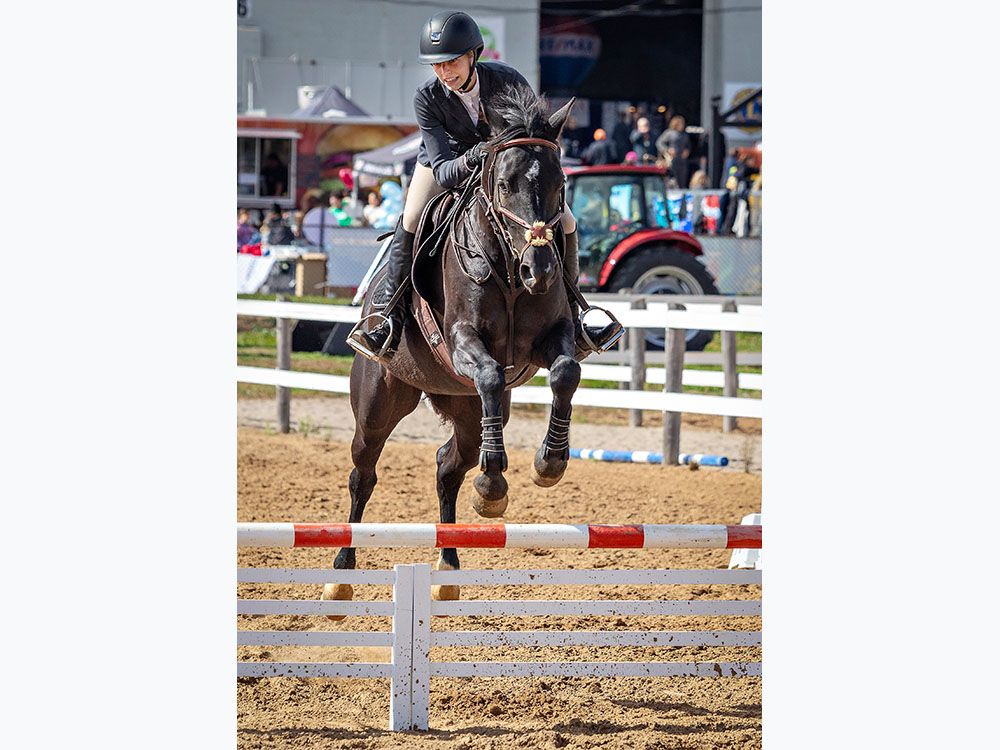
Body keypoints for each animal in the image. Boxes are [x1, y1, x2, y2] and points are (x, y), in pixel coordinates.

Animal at [323, 89, 582, 612]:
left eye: (561, 183)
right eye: (502, 184)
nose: (542, 271)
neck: (509, 266)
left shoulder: (553, 337)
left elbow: (565, 372)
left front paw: (548, 464)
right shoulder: (464, 340)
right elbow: (489, 374)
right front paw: (500, 481)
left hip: (466, 411)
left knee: (449, 466)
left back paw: (450, 561)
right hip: (379, 404)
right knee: (364, 472)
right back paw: (341, 570)